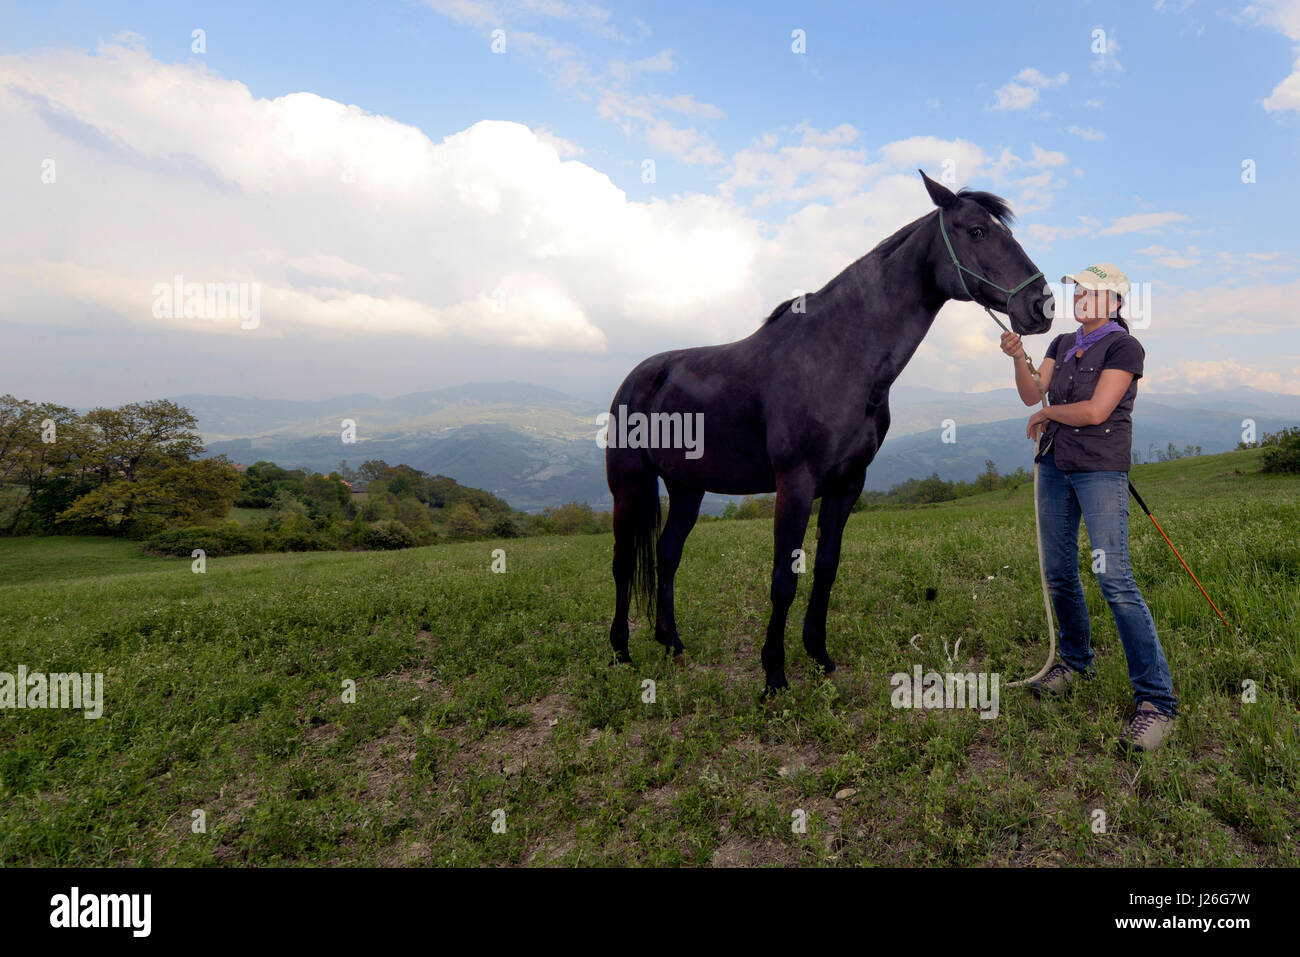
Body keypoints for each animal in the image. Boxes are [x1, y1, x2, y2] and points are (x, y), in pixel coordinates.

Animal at [605, 170, 1054, 697]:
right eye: (978, 231)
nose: (1041, 304)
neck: (838, 356)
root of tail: (639, 375)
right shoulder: (796, 484)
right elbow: (784, 578)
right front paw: (774, 675)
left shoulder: (847, 484)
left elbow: (825, 568)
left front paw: (818, 655)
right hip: (629, 486)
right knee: (622, 562)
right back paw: (620, 652)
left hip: (687, 489)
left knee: (667, 555)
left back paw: (671, 643)